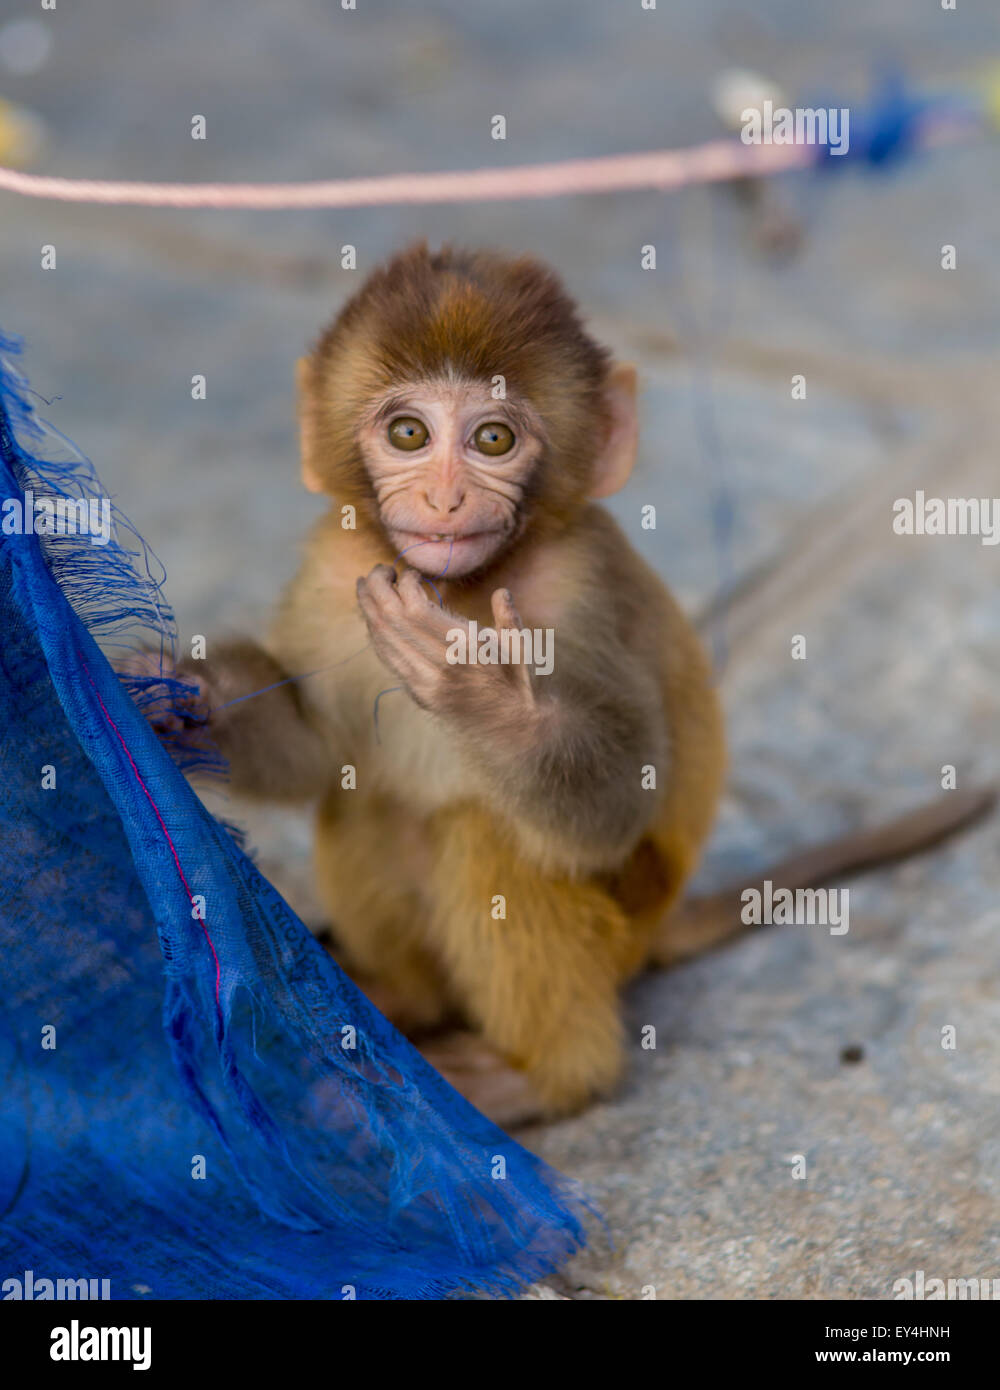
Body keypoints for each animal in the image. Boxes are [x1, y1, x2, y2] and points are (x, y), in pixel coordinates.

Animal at [134, 242, 995, 1128]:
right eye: (409, 433)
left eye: (493, 437)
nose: (444, 496)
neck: (469, 585)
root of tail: (655, 928)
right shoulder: (330, 568)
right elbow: (313, 747)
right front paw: (179, 692)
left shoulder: (583, 593)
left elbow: (611, 808)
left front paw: (482, 697)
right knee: (371, 798)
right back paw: (390, 1002)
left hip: (615, 926)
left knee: (484, 831)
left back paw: (543, 1075)